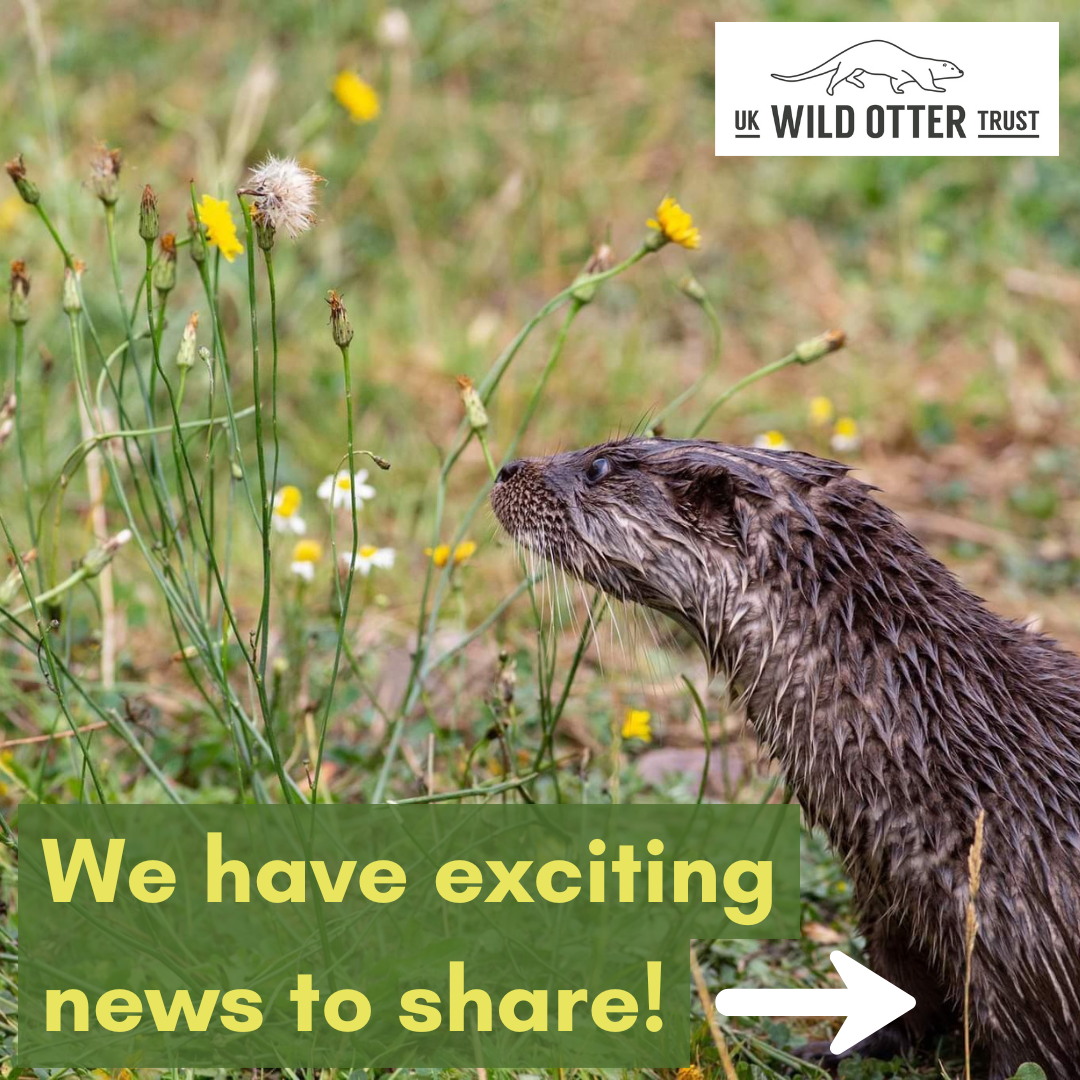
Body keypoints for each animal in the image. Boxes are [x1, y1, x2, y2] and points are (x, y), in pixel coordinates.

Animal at [490, 437, 1080, 1079]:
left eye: (598, 466)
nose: (506, 469)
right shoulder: (888, 900)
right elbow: (899, 1000)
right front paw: (824, 1050)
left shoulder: (1028, 968)